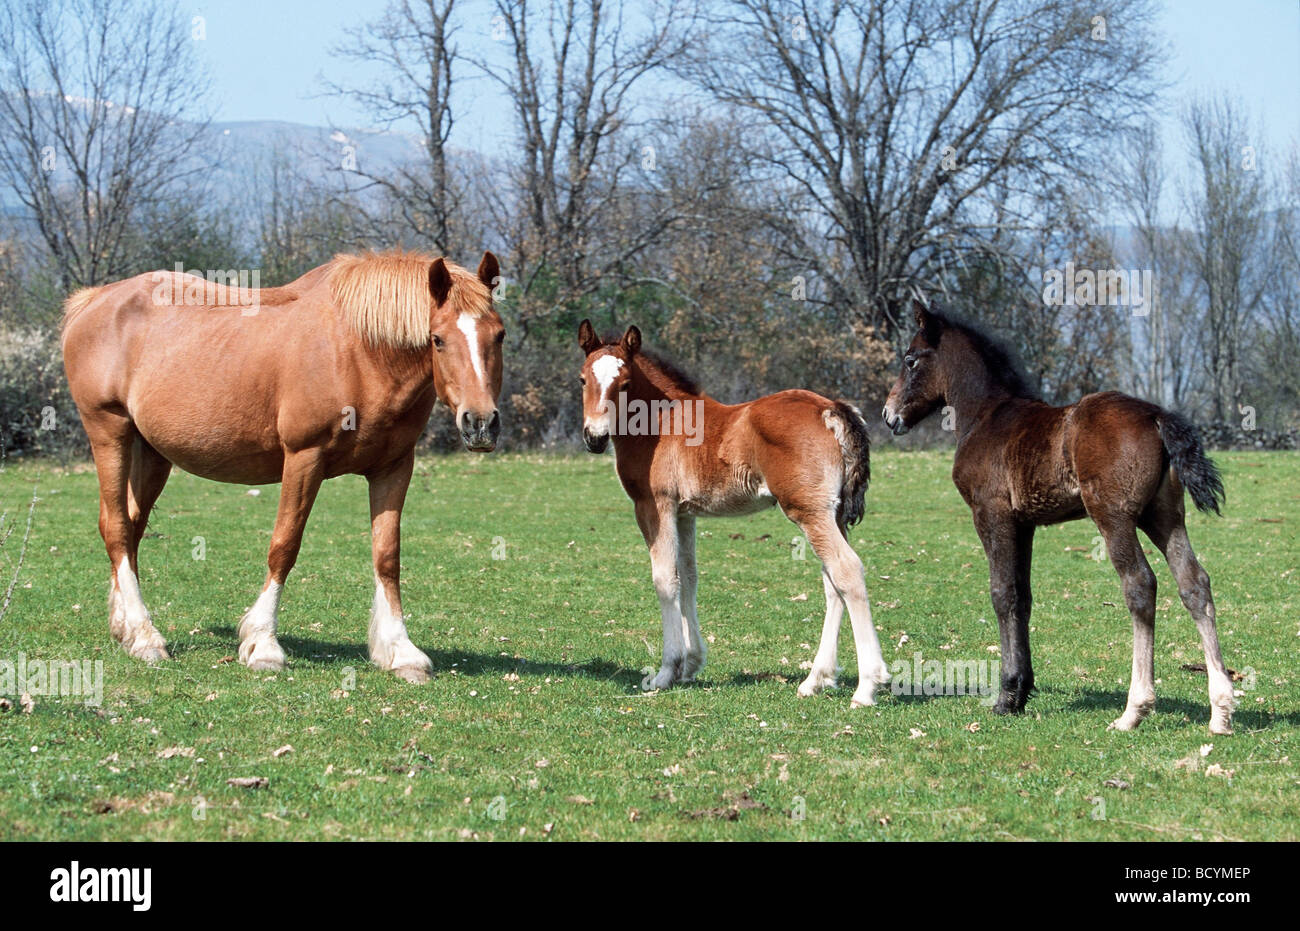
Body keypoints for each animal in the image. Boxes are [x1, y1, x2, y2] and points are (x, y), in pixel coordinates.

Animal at [61, 250, 505, 682]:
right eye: (438, 339)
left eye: (499, 334)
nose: (480, 423)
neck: (358, 352)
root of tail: (94, 301)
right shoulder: (304, 458)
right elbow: (284, 546)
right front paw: (263, 645)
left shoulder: (393, 467)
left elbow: (387, 556)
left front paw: (400, 651)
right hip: (110, 432)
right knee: (117, 529)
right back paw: (145, 636)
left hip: (153, 454)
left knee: (131, 529)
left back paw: (124, 627)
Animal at [577, 320, 889, 706]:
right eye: (582, 379)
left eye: (624, 383)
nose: (595, 438)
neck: (661, 423)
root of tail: (830, 408)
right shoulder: (684, 513)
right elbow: (688, 578)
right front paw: (691, 664)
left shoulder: (654, 505)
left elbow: (665, 580)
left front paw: (666, 671)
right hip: (834, 514)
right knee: (833, 583)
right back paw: (816, 679)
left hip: (809, 511)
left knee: (847, 571)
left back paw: (867, 686)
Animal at [882, 300, 1233, 734]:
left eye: (910, 359)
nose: (889, 415)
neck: (985, 416)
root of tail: (1155, 414)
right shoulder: (1024, 524)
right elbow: (1024, 596)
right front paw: (1022, 691)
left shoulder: (991, 514)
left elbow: (1002, 594)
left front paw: (1006, 697)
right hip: (1165, 516)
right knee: (1194, 583)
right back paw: (1221, 711)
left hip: (1113, 518)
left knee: (1140, 585)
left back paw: (1134, 709)